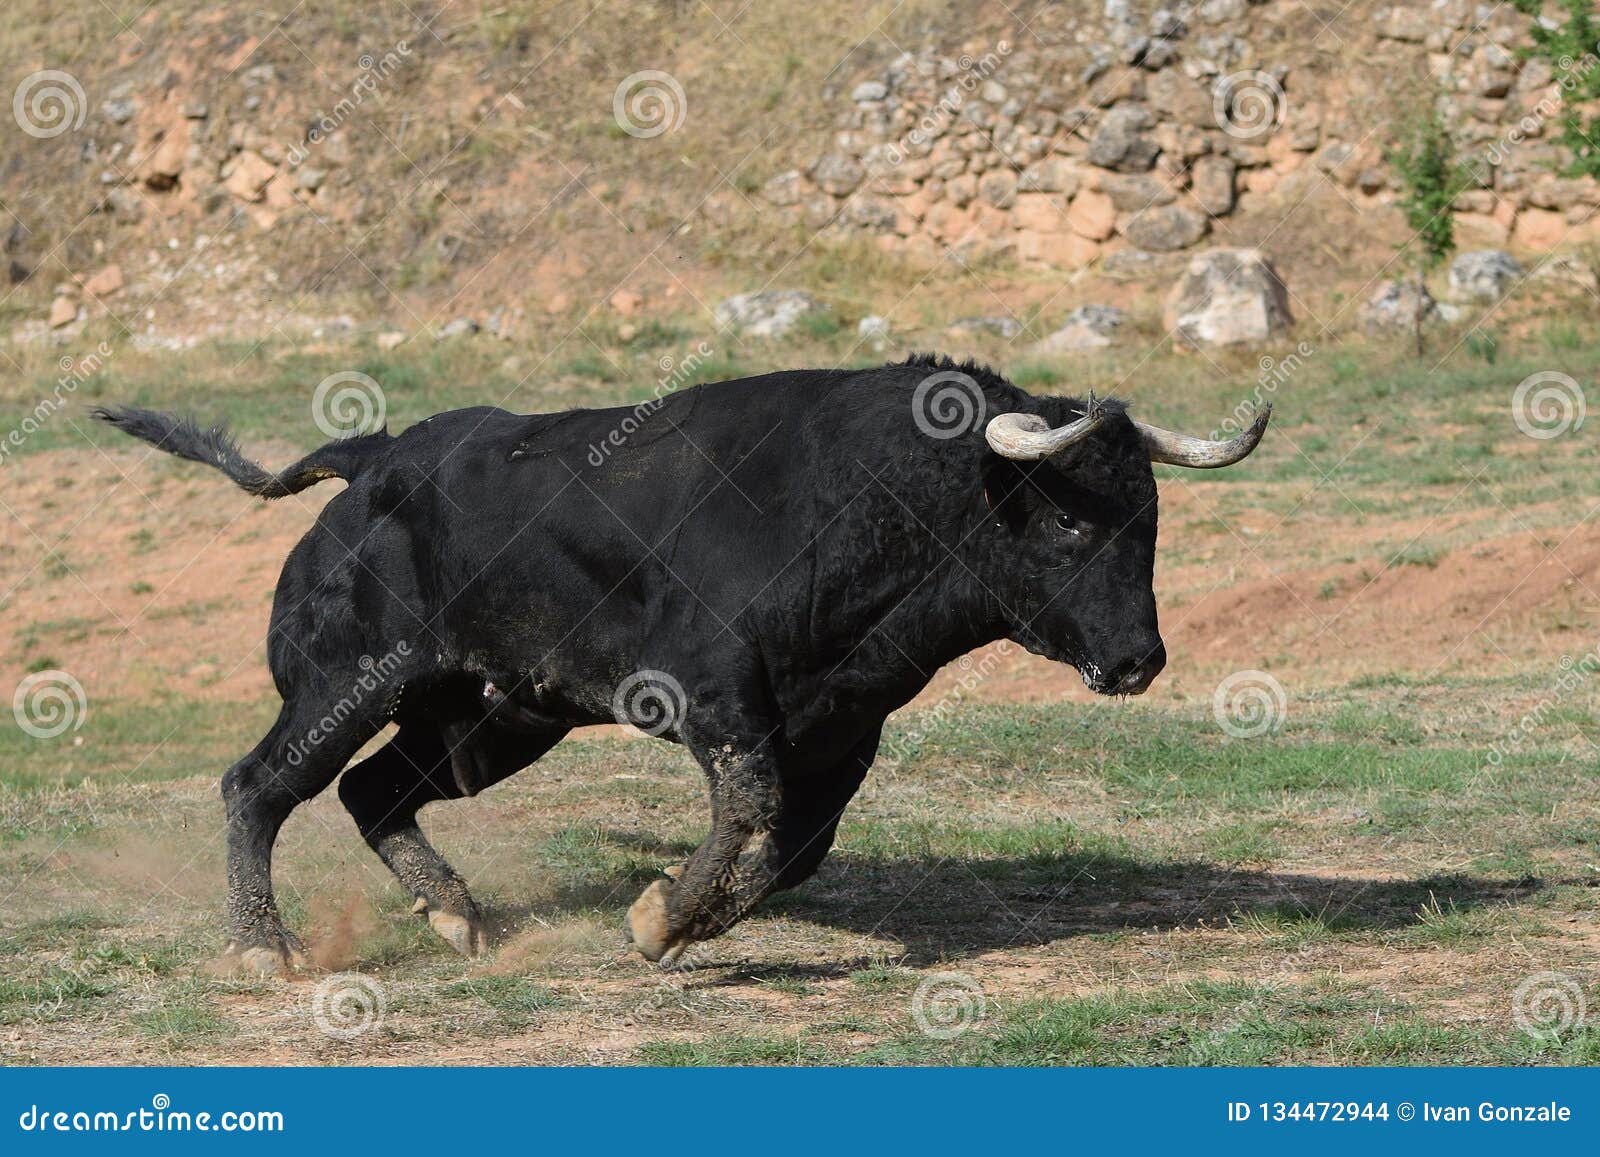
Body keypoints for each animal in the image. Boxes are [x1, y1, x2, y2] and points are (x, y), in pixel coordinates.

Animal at [95, 354, 1268, 972]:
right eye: (1070, 521)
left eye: (1150, 518)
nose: (1139, 660)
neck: (859, 503)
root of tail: (374, 456)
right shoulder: (718, 697)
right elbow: (752, 811)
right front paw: (659, 915)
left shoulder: (842, 730)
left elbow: (792, 844)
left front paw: (672, 920)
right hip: (347, 678)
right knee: (261, 783)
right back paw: (264, 945)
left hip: (492, 713)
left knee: (372, 788)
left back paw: (457, 913)